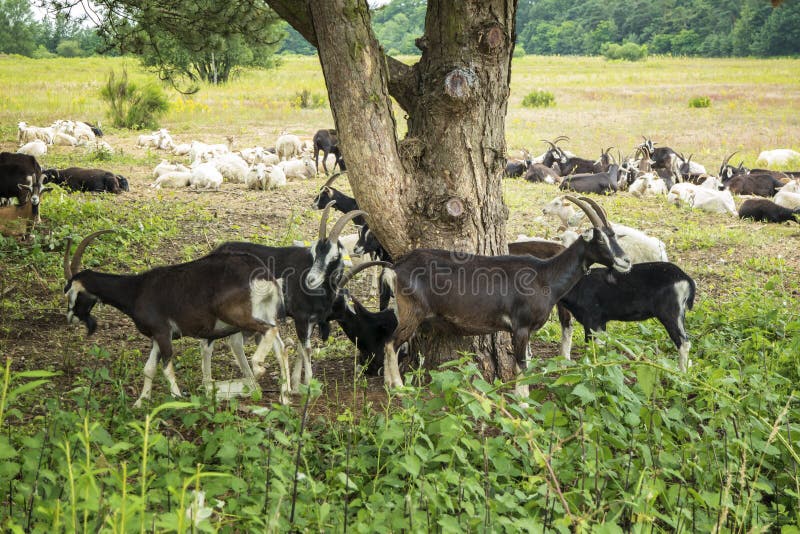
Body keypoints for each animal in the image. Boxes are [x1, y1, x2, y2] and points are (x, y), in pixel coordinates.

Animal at [62, 231, 287, 406]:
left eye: (72, 293)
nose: (70, 318)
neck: (135, 290)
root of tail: (262, 275)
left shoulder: (163, 331)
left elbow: (166, 367)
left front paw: (177, 398)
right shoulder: (156, 335)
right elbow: (149, 369)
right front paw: (140, 402)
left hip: (234, 314)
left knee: (269, 331)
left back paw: (255, 369)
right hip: (265, 312)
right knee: (279, 346)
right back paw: (284, 396)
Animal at [381, 196, 632, 398]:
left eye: (614, 236)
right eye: (600, 239)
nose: (626, 261)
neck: (545, 276)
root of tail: (396, 268)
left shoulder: (527, 330)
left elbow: (527, 361)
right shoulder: (520, 327)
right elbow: (521, 364)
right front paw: (523, 401)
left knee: (389, 344)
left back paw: (388, 384)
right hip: (412, 312)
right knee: (391, 343)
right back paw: (398, 387)